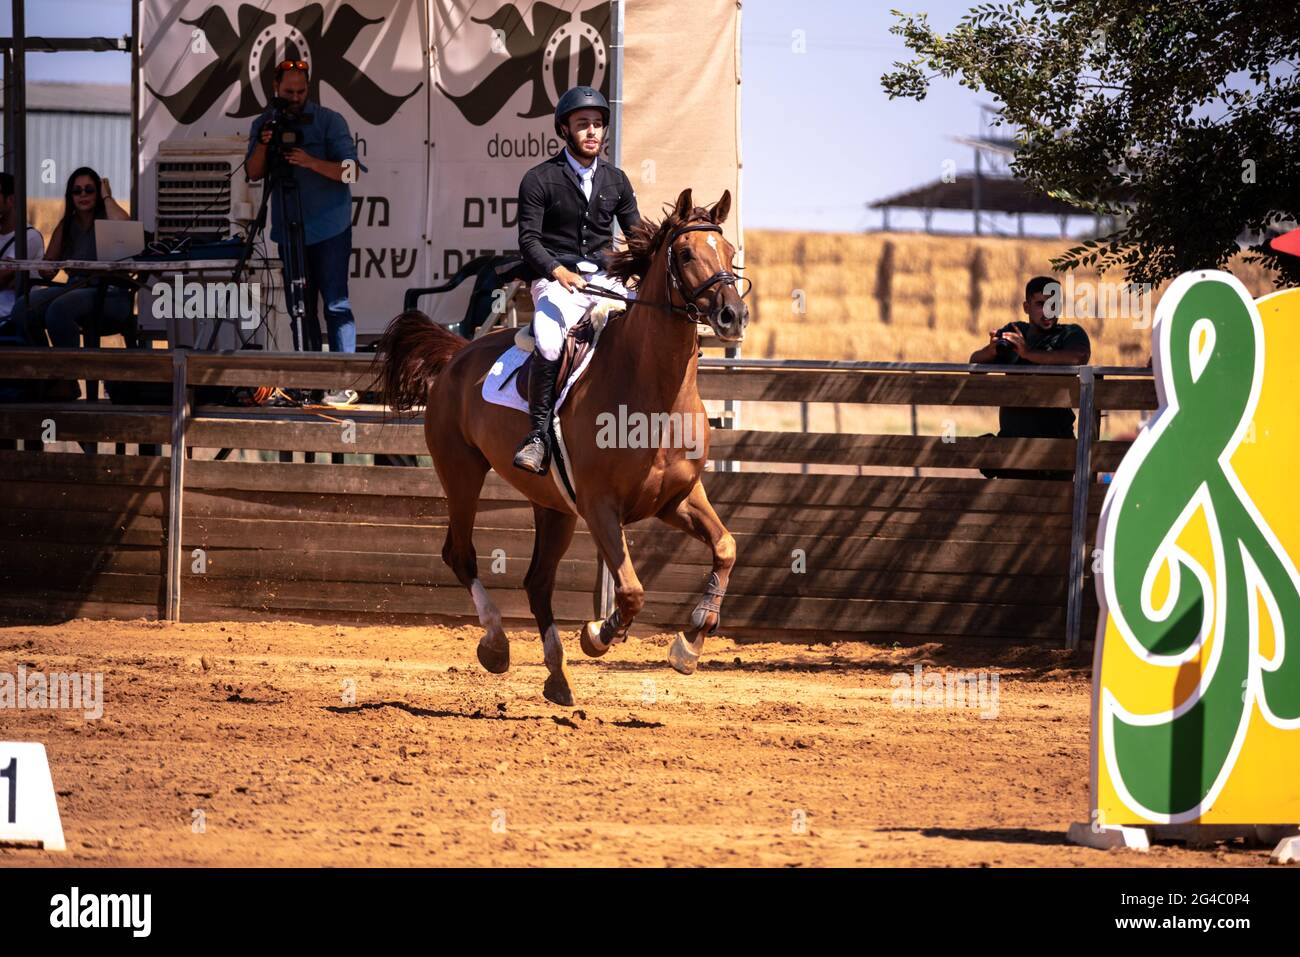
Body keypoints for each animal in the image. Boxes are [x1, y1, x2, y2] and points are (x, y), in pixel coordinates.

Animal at [373, 188, 747, 706]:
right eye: (688, 254)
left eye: (729, 251)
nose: (733, 315)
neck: (653, 392)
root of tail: (457, 353)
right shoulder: (600, 506)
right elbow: (630, 590)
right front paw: (598, 635)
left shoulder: (676, 499)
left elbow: (726, 547)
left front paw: (689, 644)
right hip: (462, 475)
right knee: (461, 555)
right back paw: (496, 645)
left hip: (553, 507)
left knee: (537, 582)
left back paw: (556, 674)